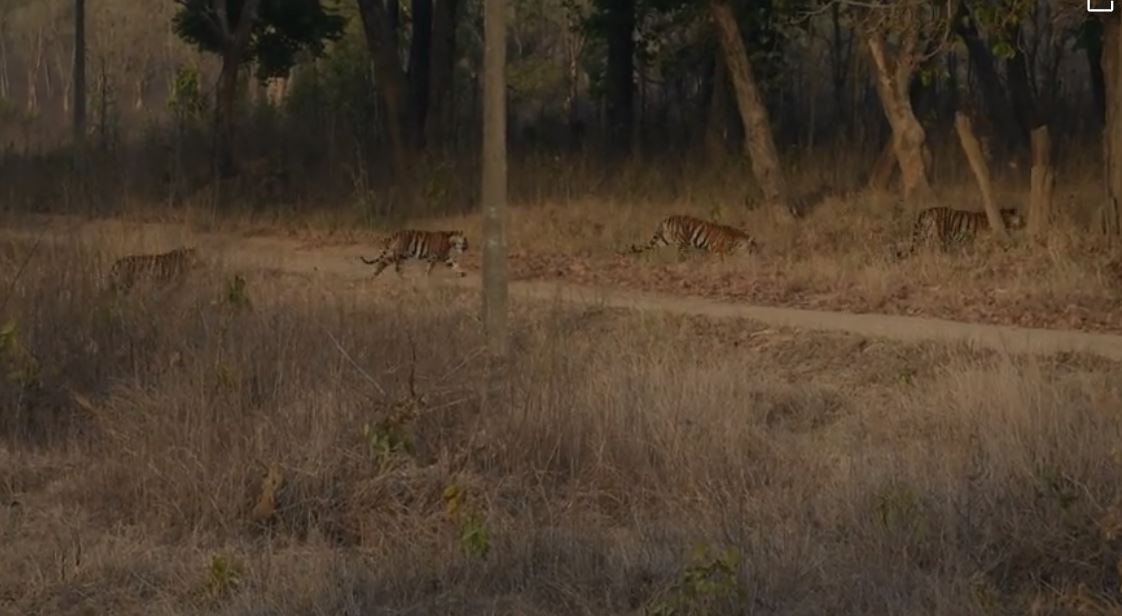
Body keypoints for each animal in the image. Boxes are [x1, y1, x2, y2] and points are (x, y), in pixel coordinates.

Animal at [624, 215, 758, 258]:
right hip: (682, 243)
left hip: (663, 240)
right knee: (683, 257)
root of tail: (666, 219)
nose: (755, 256)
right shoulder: (716, 250)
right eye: (753, 248)